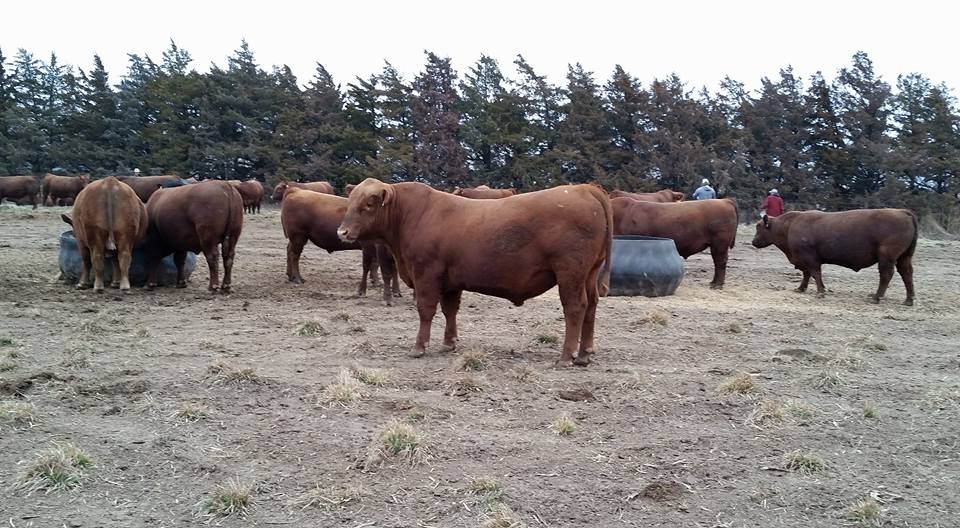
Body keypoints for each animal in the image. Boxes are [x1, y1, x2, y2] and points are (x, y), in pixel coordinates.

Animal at [337, 178, 613, 366]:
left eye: (368, 204)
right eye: (350, 202)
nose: (342, 232)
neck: (412, 215)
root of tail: (584, 188)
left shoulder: (427, 274)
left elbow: (426, 310)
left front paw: (419, 346)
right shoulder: (450, 281)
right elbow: (450, 310)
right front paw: (449, 343)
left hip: (570, 273)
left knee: (575, 308)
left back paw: (567, 356)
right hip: (589, 273)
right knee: (591, 306)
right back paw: (585, 354)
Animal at [752, 209, 917, 305]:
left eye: (759, 227)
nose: (753, 242)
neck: (789, 225)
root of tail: (903, 212)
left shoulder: (809, 258)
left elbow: (815, 273)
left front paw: (820, 292)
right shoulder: (805, 260)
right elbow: (807, 274)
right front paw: (801, 289)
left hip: (886, 258)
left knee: (886, 275)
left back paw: (876, 297)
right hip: (904, 258)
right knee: (907, 274)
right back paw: (908, 300)